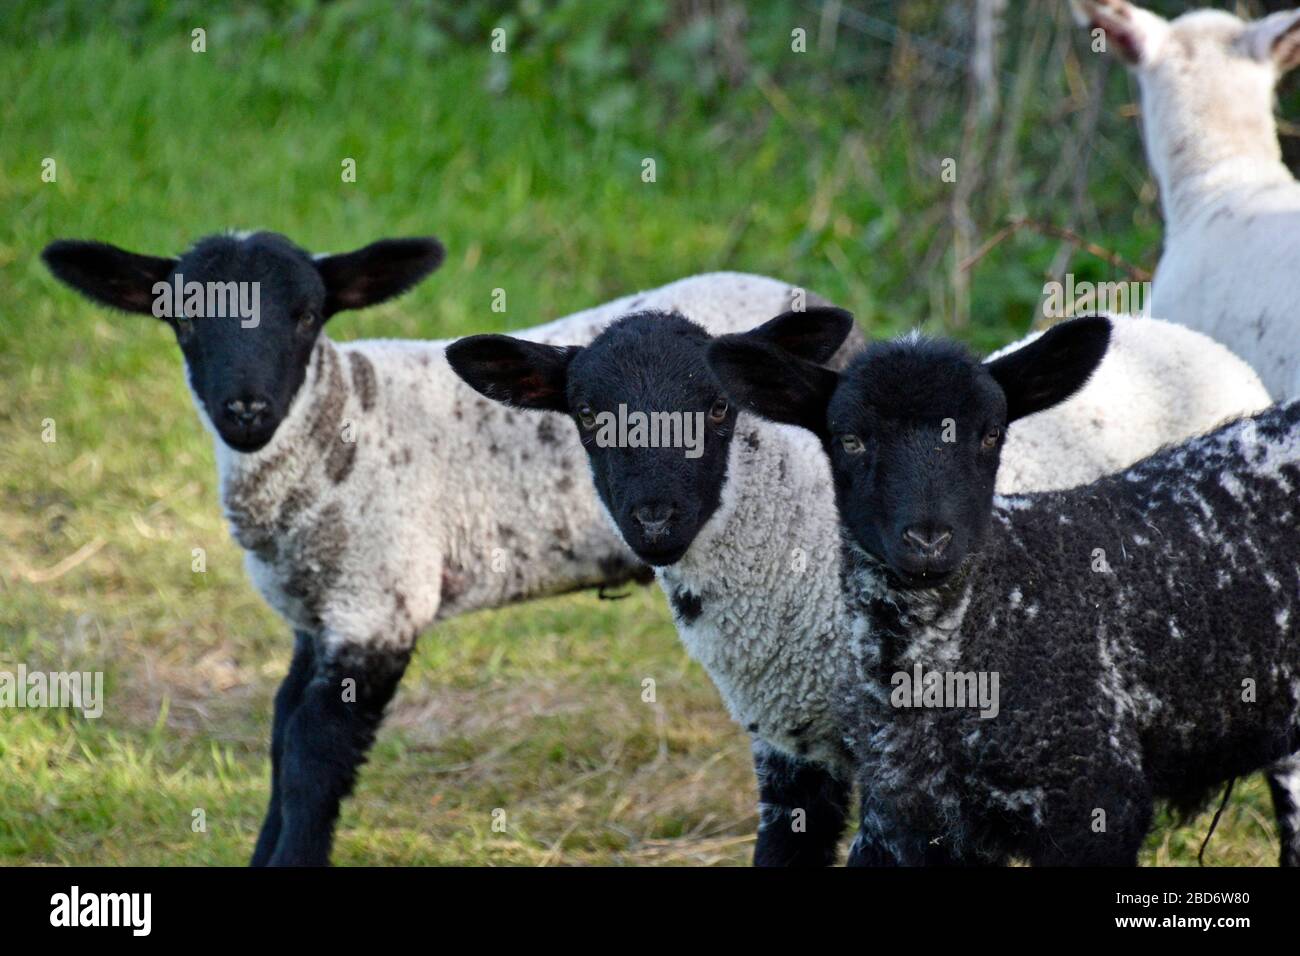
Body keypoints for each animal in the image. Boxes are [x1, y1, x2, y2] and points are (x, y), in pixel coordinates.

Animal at [40, 231, 853, 865]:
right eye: (184, 322)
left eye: (304, 315)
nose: (246, 410)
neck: (340, 426)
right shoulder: (316, 614)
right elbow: (279, 734)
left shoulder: (379, 602)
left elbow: (311, 760)